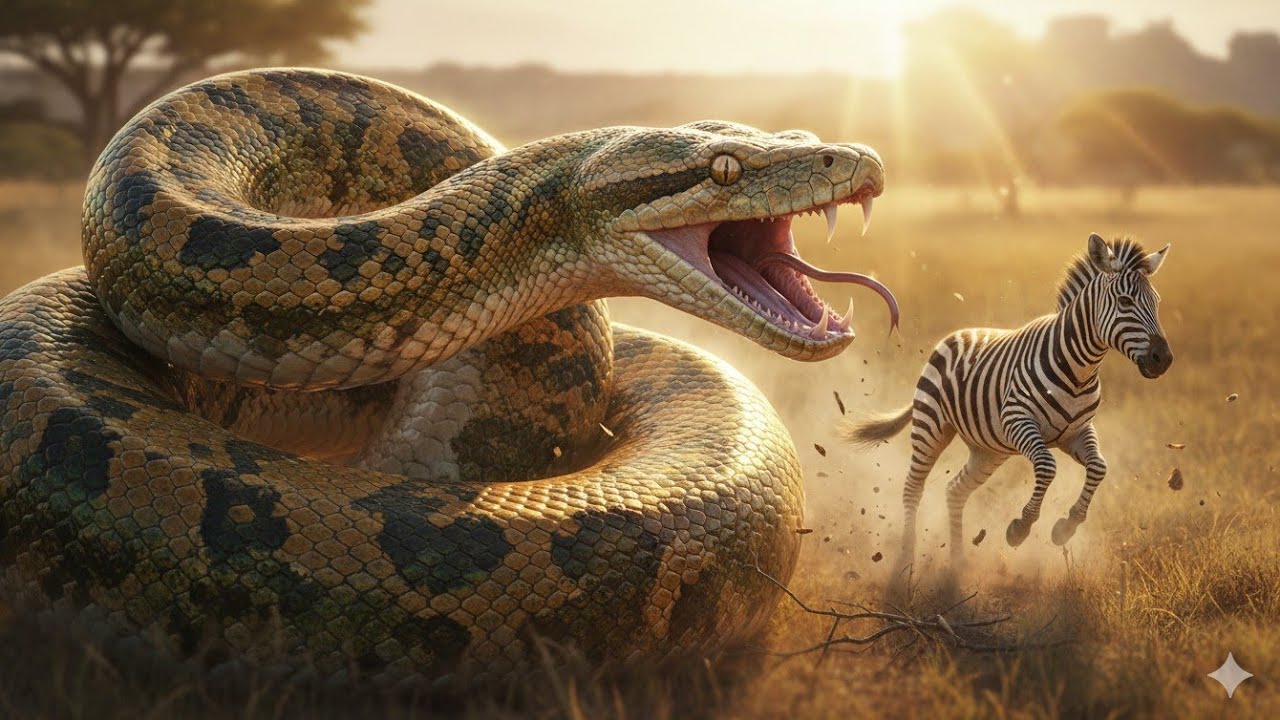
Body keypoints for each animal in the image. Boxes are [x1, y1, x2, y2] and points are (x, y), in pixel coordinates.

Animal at [844, 233, 1172, 569]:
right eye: (1125, 302)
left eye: (1157, 302)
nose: (1163, 359)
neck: (1079, 369)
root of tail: (953, 336)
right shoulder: (1018, 421)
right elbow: (1047, 466)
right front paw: (1021, 527)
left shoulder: (1078, 432)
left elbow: (1099, 467)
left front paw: (1066, 526)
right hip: (931, 427)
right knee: (913, 488)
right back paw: (907, 558)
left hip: (988, 451)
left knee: (955, 490)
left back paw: (957, 562)